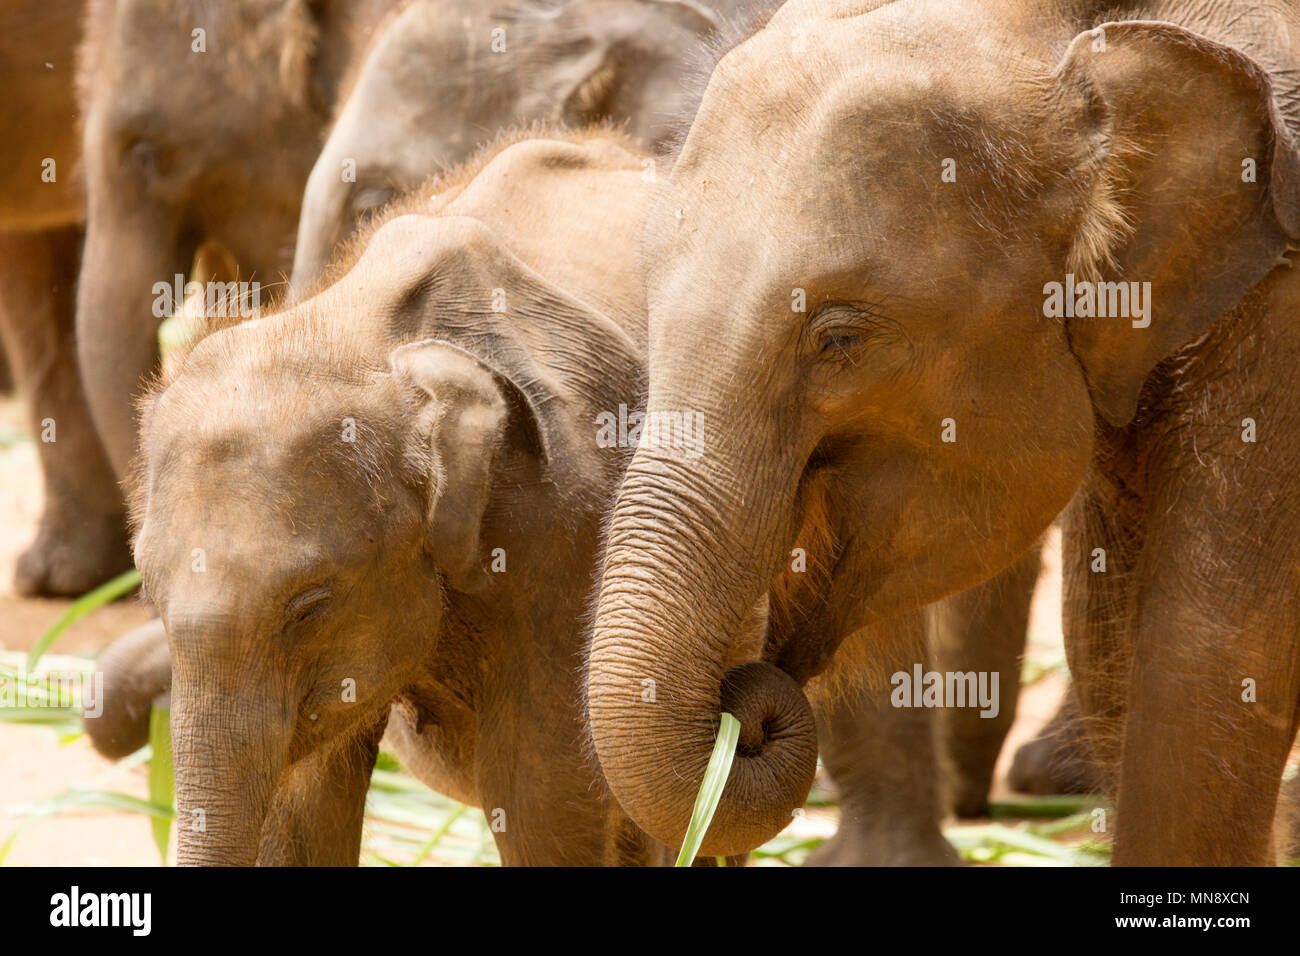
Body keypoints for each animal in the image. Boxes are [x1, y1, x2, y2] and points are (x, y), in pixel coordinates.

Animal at [126, 130, 708, 865]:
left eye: (312, 606)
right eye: (149, 595)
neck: (363, 334)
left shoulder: (569, 546)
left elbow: (543, 802)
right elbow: (304, 806)